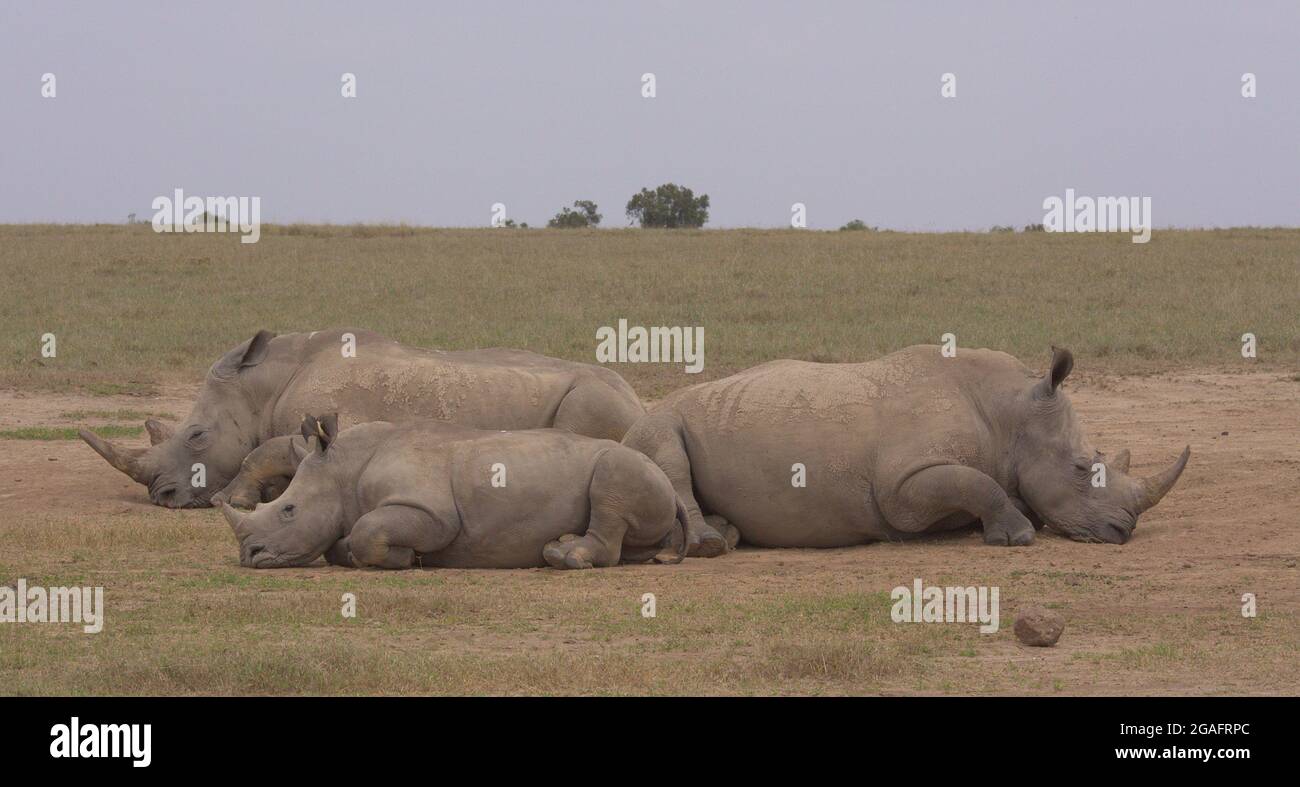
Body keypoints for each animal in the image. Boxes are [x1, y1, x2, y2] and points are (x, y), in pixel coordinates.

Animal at [80, 329, 645, 508]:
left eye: (197, 435)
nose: (162, 496)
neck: (263, 386)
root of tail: (639, 401)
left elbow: (262, 451)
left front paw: (235, 500)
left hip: (595, 397)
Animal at [220, 415, 688, 570]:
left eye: (288, 509)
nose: (249, 556)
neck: (342, 469)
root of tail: (676, 492)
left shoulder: (434, 514)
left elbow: (369, 530)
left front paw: (405, 560)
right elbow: (344, 540)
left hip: (631, 466)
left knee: (612, 482)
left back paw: (564, 555)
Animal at [621, 345, 1190, 555]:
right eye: (1081, 466)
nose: (1124, 530)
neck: (1009, 415)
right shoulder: (901, 487)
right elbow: (976, 483)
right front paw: (1017, 537)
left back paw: (730, 533)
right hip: (659, 420)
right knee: (665, 453)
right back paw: (709, 545)